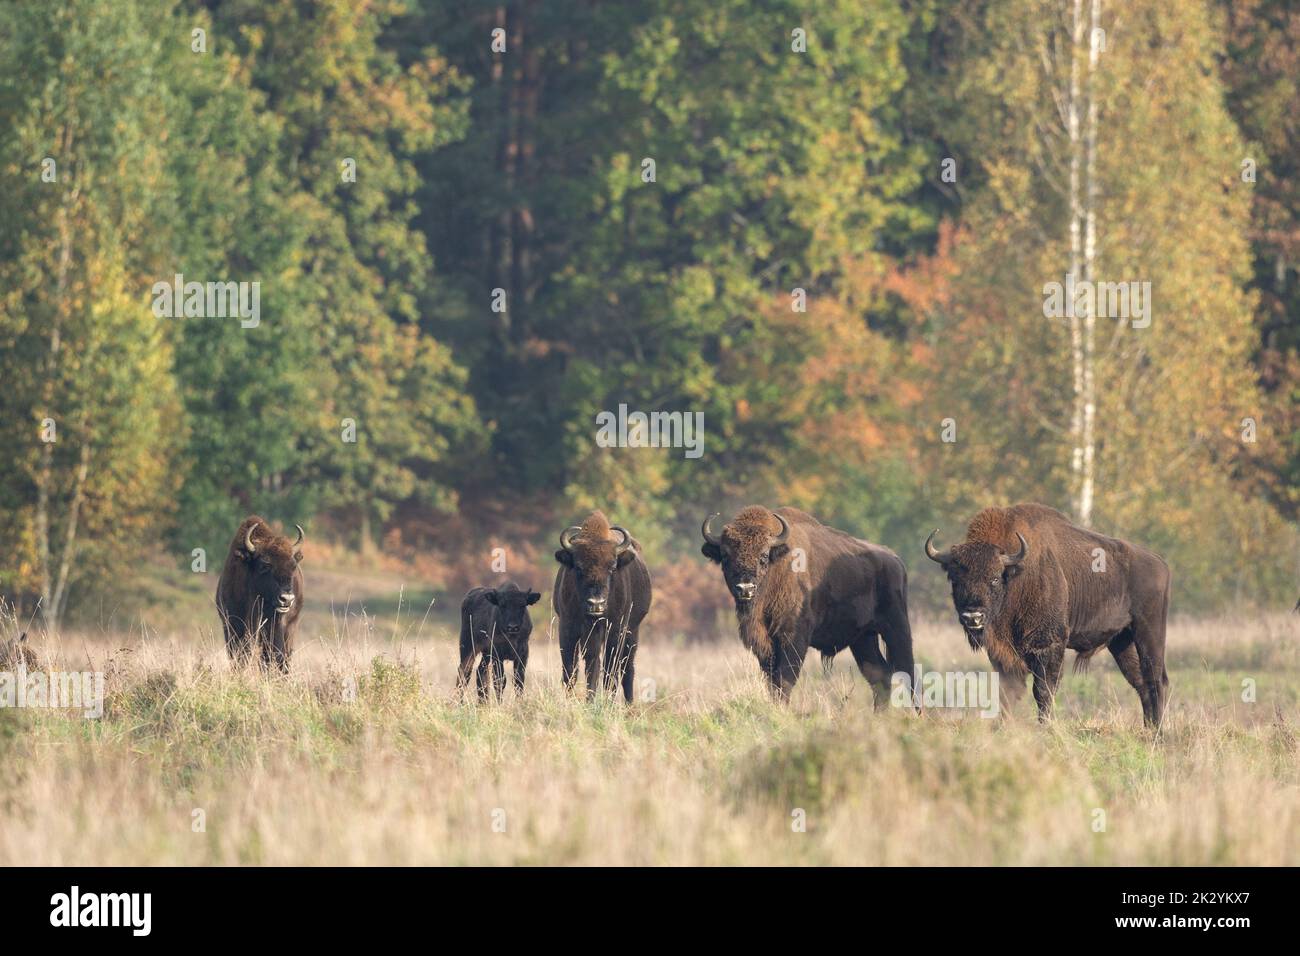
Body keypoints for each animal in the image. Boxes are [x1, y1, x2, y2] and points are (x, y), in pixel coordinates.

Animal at [216, 515, 304, 673]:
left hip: (290, 627)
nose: (287, 599)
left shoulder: (276, 627)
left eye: (293, 566)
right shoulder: (232, 625)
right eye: (265, 565)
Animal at [553, 511, 652, 701]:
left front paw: (604, 701)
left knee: (627, 669)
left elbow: (609, 670)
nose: (596, 604)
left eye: (612, 568)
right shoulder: (568, 629)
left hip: (632, 632)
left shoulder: (615, 630)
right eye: (578, 568)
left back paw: (629, 703)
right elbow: (573, 669)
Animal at [702, 506, 915, 704]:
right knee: (880, 677)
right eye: (725, 556)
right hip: (863, 638)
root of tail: (895, 560)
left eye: (763, 556)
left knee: (908, 671)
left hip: (897, 628)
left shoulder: (793, 637)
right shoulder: (765, 645)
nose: (745, 588)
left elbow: (785, 680)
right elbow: (772, 683)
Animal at [925, 502, 1170, 727]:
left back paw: (1157, 733)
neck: (1016, 576)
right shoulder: (1001, 654)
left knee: (1155, 679)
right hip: (1122, 641)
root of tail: (1160, 562)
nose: (972, 617)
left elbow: (1043, 690)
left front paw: (1046, 727)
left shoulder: (1049, 645)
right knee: (1140, 682)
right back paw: (1148, 729)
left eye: (994, 578)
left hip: (1149, 632)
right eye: (955, 580)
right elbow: (1008, 692)